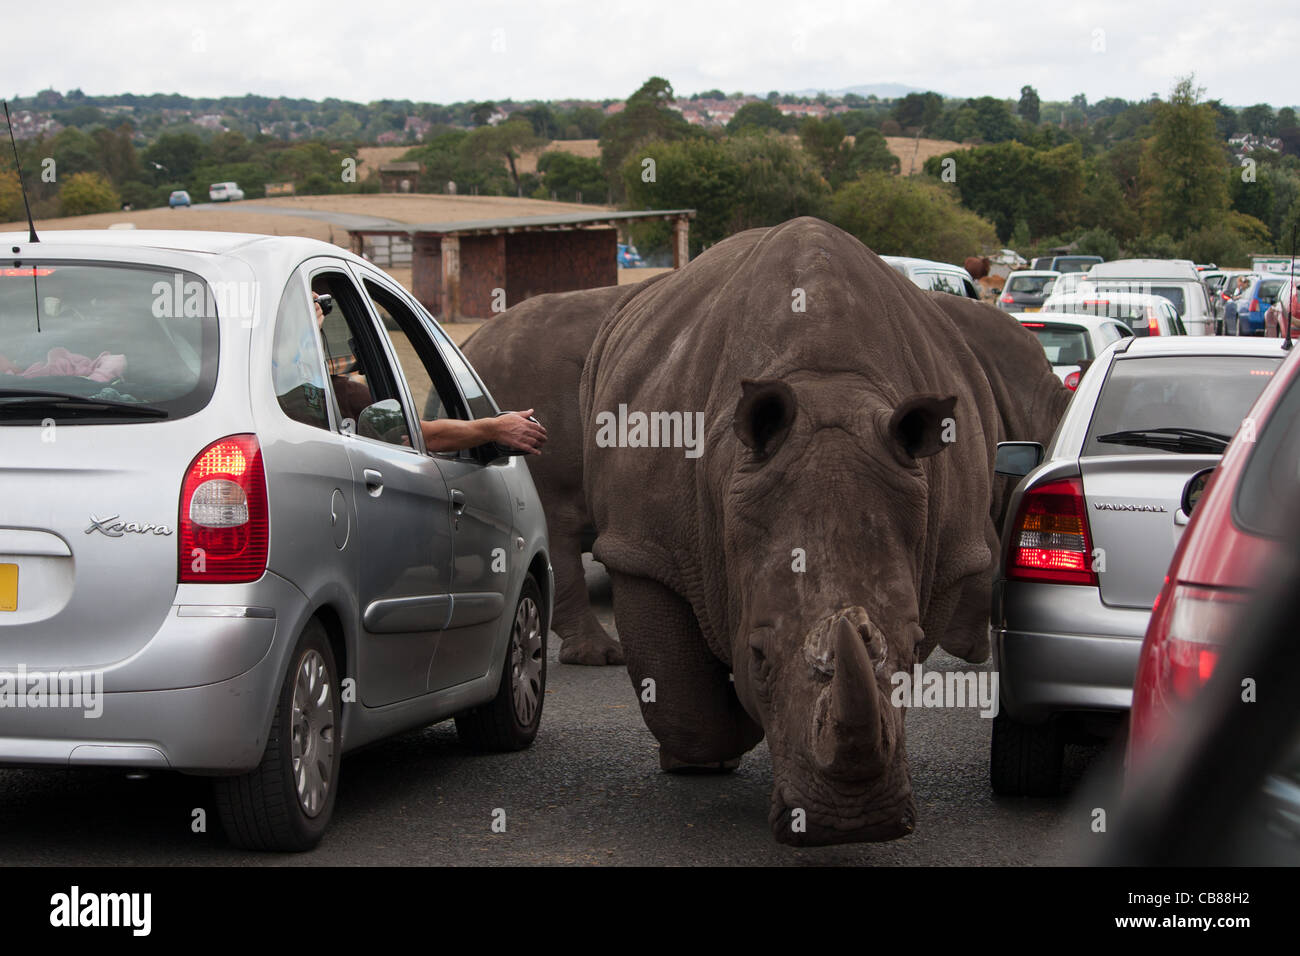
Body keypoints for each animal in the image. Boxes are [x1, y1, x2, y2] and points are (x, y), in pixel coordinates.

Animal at [575, 218, 1069, 845]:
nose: (851, 821)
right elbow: (686, 703)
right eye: (758, 653)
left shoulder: (947, 546)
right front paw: (727, 734)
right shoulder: (645, 545)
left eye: (915, 647)